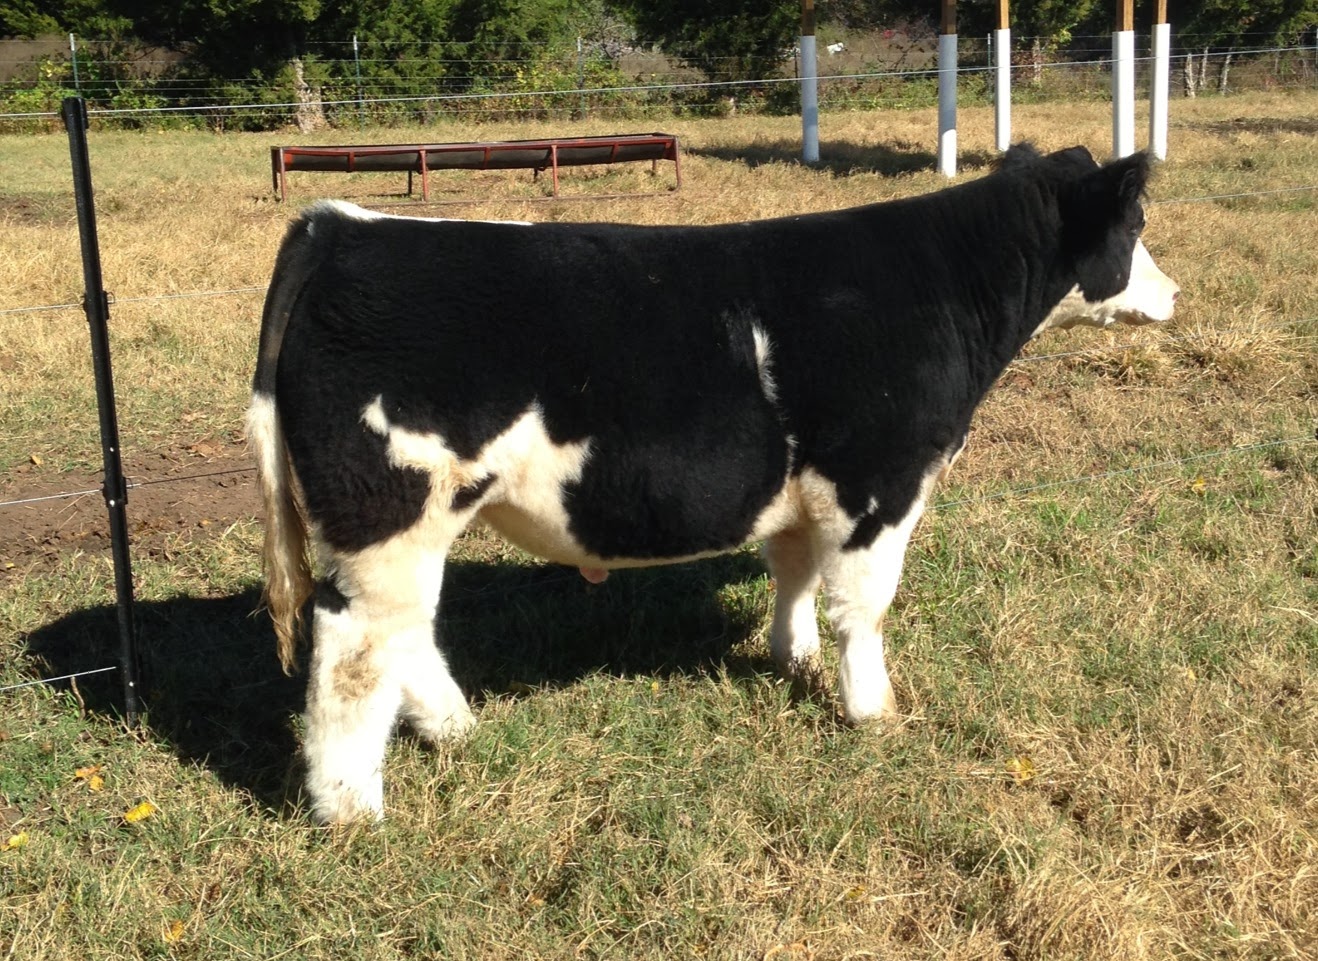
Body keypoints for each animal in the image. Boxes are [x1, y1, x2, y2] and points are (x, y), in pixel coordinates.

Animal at [248, 143, 1179, 823]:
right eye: (1134, 224)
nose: (1173, 293)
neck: (937, 288)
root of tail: (340, 226)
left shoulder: (802, 491)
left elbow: (796, 575)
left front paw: (794, 658)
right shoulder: (879, 482)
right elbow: (865, 605)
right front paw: (871, 711)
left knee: (403, 630)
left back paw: (454, 727)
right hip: (387, 510)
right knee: (353, 649)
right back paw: (352, 811)